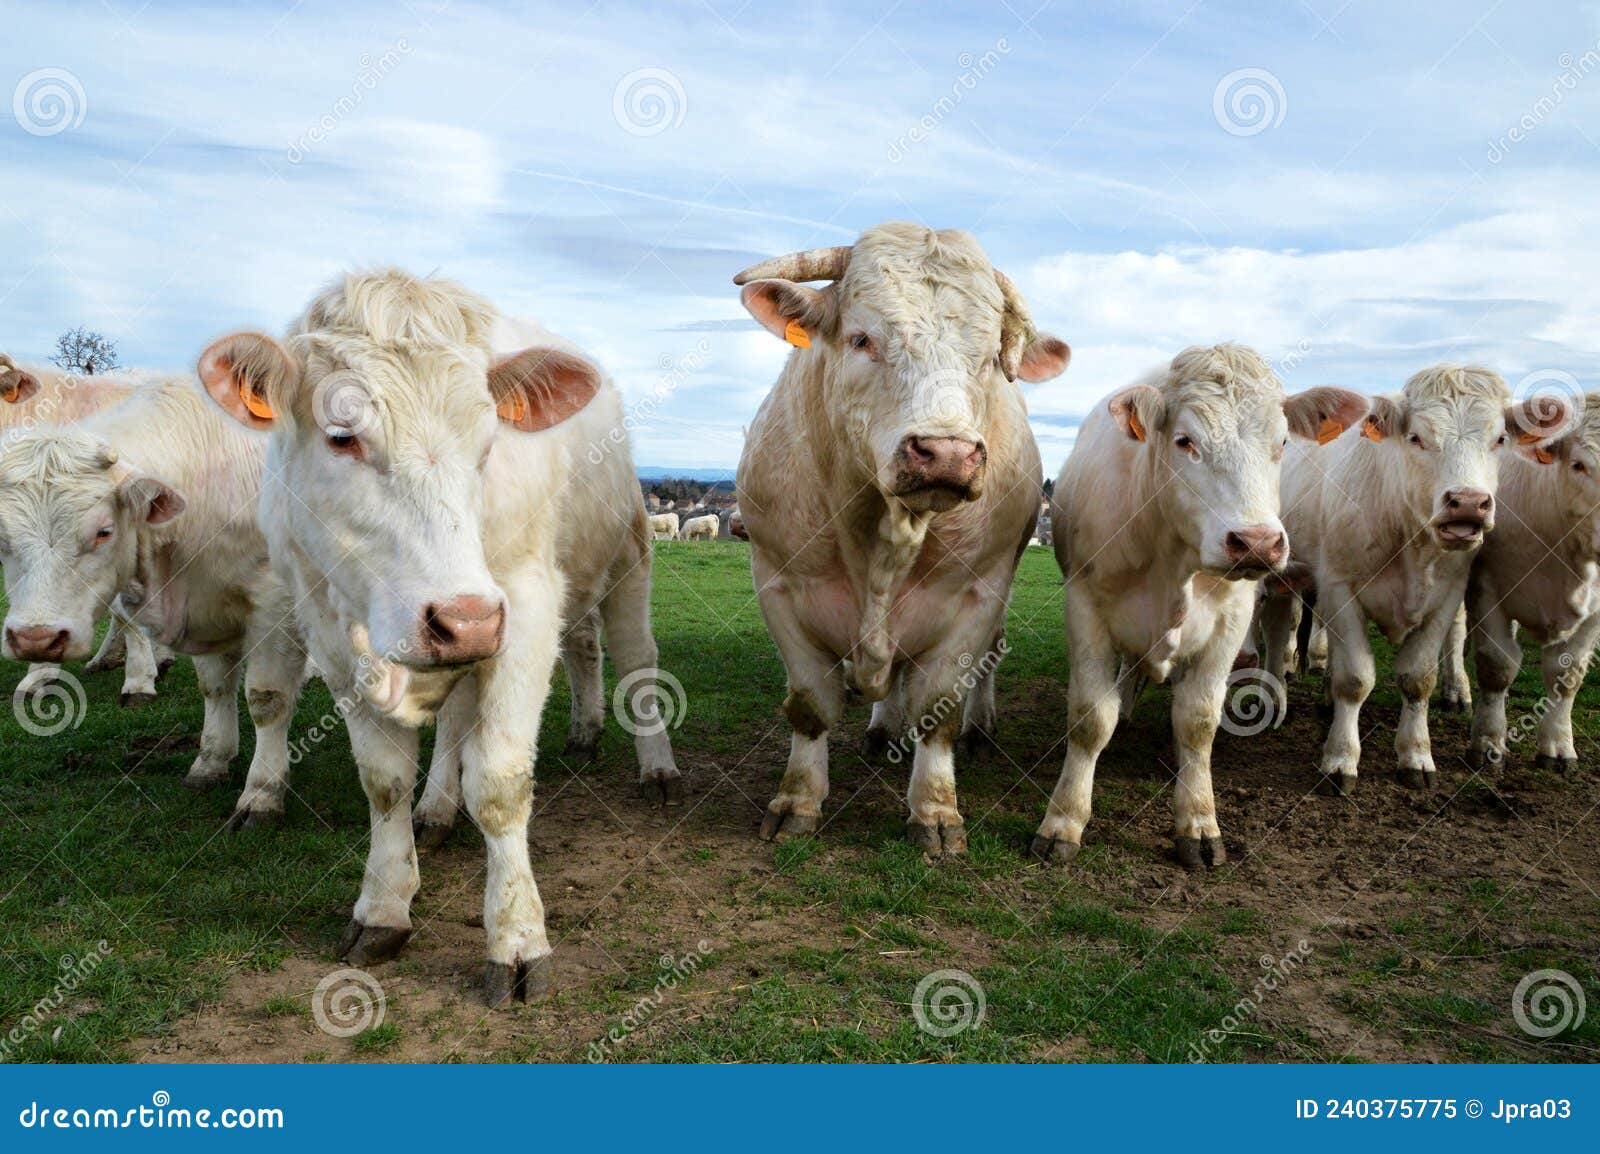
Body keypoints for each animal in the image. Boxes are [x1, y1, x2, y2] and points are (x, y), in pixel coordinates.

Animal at [197, 271, 679, 1005]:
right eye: (342, 436)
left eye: (488, 443)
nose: (467, 619)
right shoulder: (327, 625)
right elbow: (384, 780)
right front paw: (384, 905)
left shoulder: (523, 607)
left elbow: (501, 784)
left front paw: (518, 941)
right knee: (476, 707)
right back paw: (447, 804)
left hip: (625, 551)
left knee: (633, 659)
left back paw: (656, 766)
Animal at [734, 222, 1071, 855]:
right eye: (862, 338)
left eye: (989, 359)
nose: (947, 453)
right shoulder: (778, 583)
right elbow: (810, 706)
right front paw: (797, 802)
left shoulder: (975, 595)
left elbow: (939, 707)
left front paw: (935, 811)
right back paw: (882, 726)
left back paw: (978, 727)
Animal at [1031, 345, 1367, 869]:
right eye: (1185, 440)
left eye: (1283, 441)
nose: (1257, 542)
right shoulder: (1085, 608)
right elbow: (1090, 718)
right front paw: (1063, 821)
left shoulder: (1231, 623)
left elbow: (1197, 722)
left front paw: (1198, 823)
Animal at [1271, 365, 1568, 795]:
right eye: (1417, 437)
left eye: (1500, 439)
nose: (1468, 503)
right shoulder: (1341, 589)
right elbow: (1355, 678)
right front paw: (1341, 760)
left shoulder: (1445, 598)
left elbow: (1418, 678)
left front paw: (1415, 755)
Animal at [1464, 390, 1600, 772]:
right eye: (1579, 465)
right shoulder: (1486, 586)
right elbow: (1497, 664)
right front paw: (1487, 743)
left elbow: (1567, 675)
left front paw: (1557, 747)